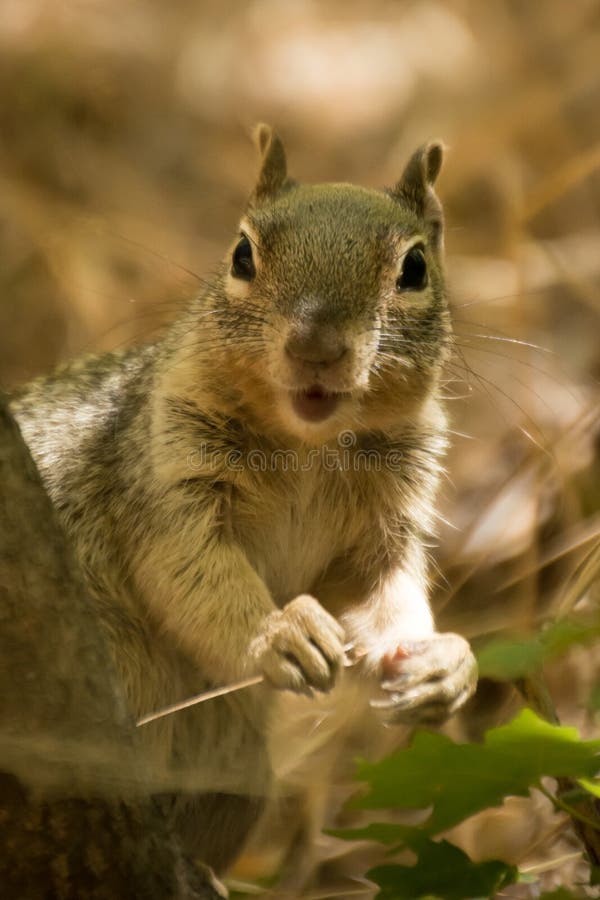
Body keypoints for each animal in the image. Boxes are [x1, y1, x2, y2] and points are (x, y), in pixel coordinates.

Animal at [9, 125, 478, 877]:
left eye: (415, 268)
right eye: (241, 254)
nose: (316, 346)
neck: (308, 445)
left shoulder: (384, 526)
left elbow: (383, 594)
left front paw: (443, 663)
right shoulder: (166, 477)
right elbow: (191, 574)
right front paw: (279, 634)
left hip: (242, 783)